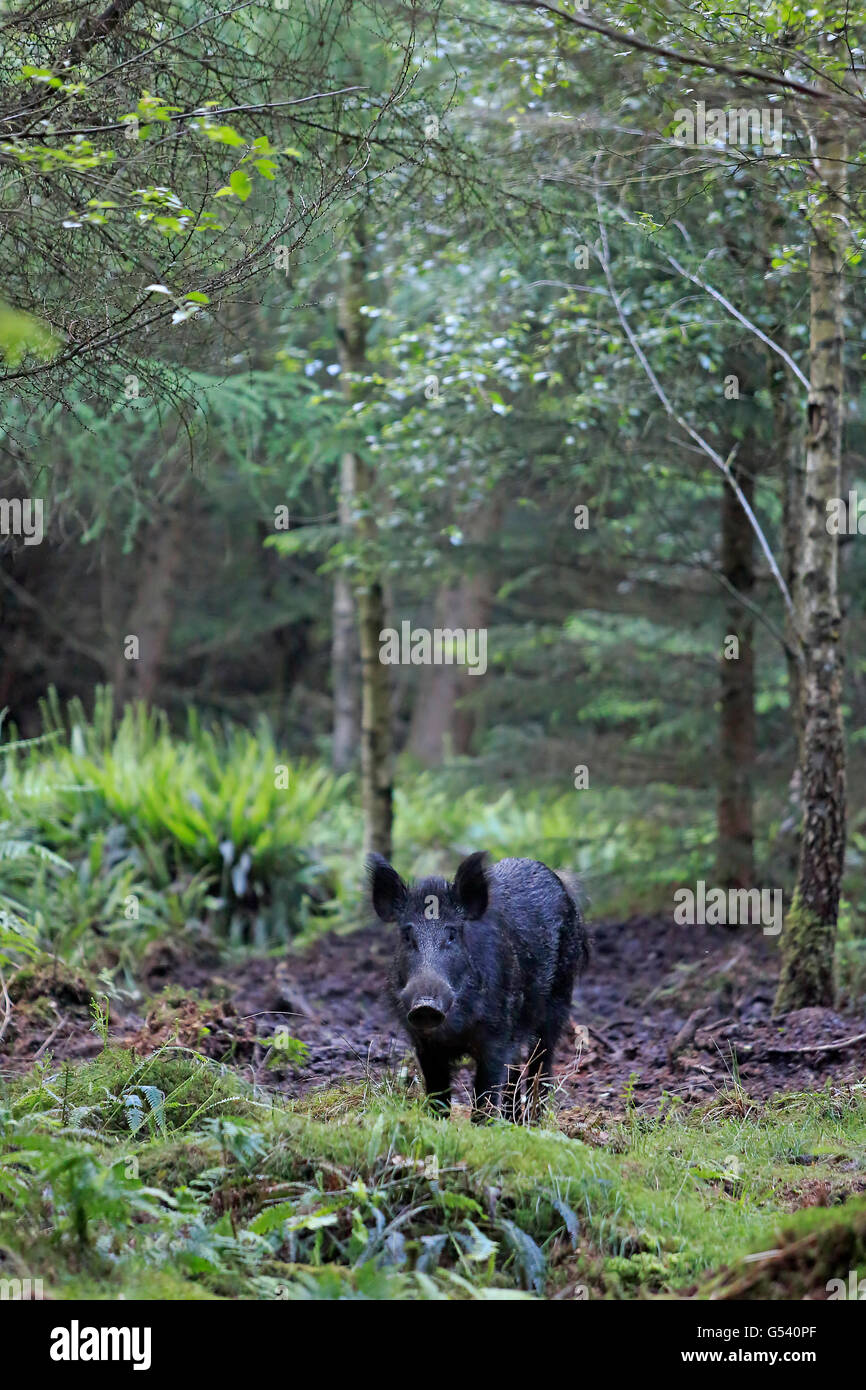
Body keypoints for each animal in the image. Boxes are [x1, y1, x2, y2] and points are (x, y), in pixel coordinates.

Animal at [367, 850, 588, 1122]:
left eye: (452, 935)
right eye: (407, 936)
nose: (425, 1005)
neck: (454, 1031)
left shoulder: (496, 1039)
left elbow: (484, 1095)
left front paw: (482, 1126)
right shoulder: (425, 1045)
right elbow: (438, 1096)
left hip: (559, 998)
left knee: (541, 1061)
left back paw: (533, 1120)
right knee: (516, 1069)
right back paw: (513, 1120)